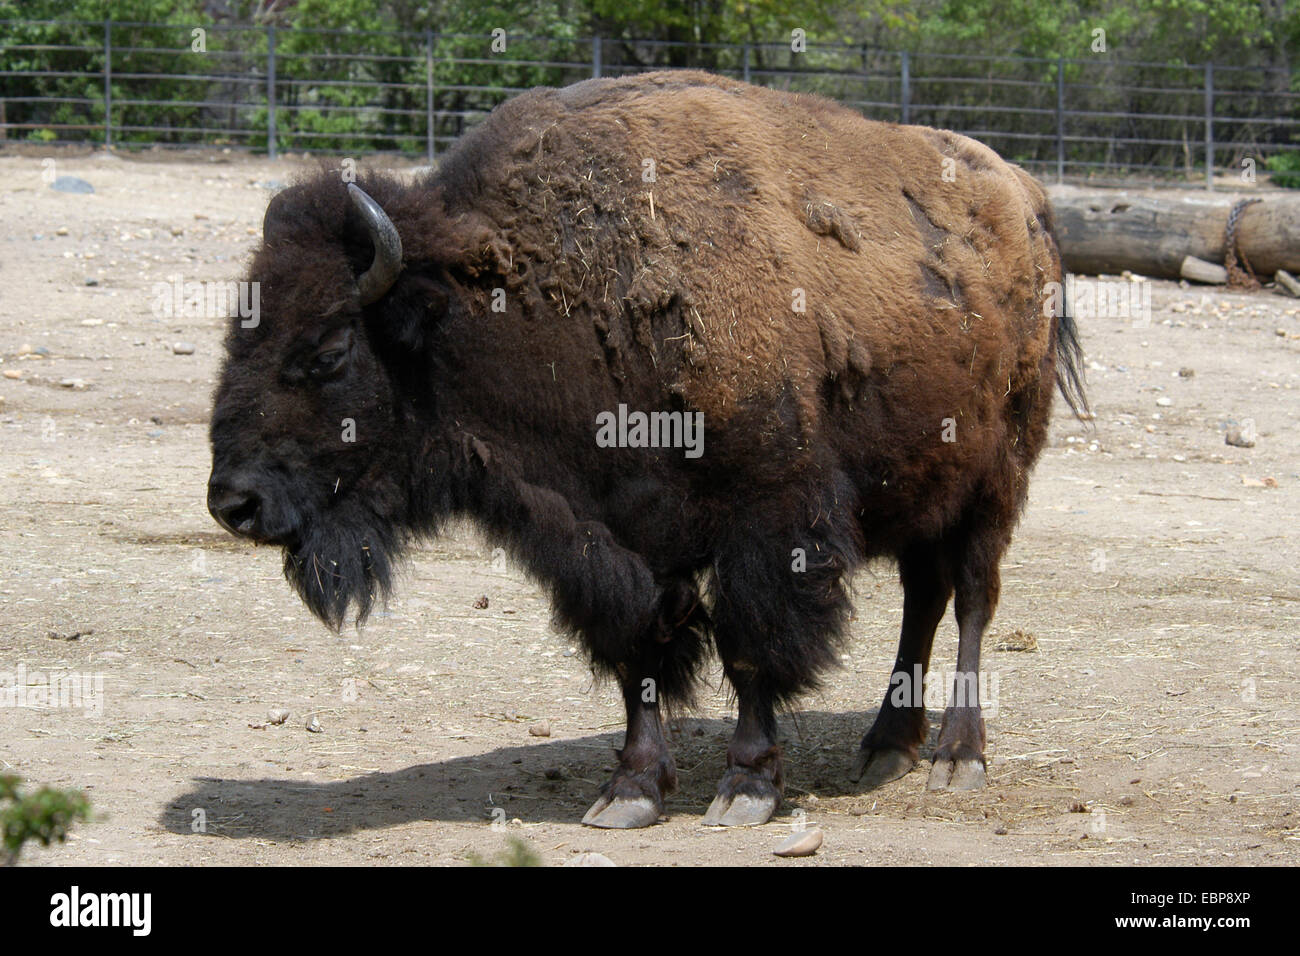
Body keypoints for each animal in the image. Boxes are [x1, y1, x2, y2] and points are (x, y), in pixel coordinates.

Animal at [208, 70, 1086, 829]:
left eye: (328, 350)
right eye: (237, 332)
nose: (233, 503)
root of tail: (1027, 200)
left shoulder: (768, 521)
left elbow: (750, 650)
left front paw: (746, 787)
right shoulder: (610, 537)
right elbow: (640, 654)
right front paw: (628, 791)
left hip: (996, 480)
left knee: (970, 600)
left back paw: (958, 757)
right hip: (922, 489)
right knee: (923, 599)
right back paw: (885, 748)